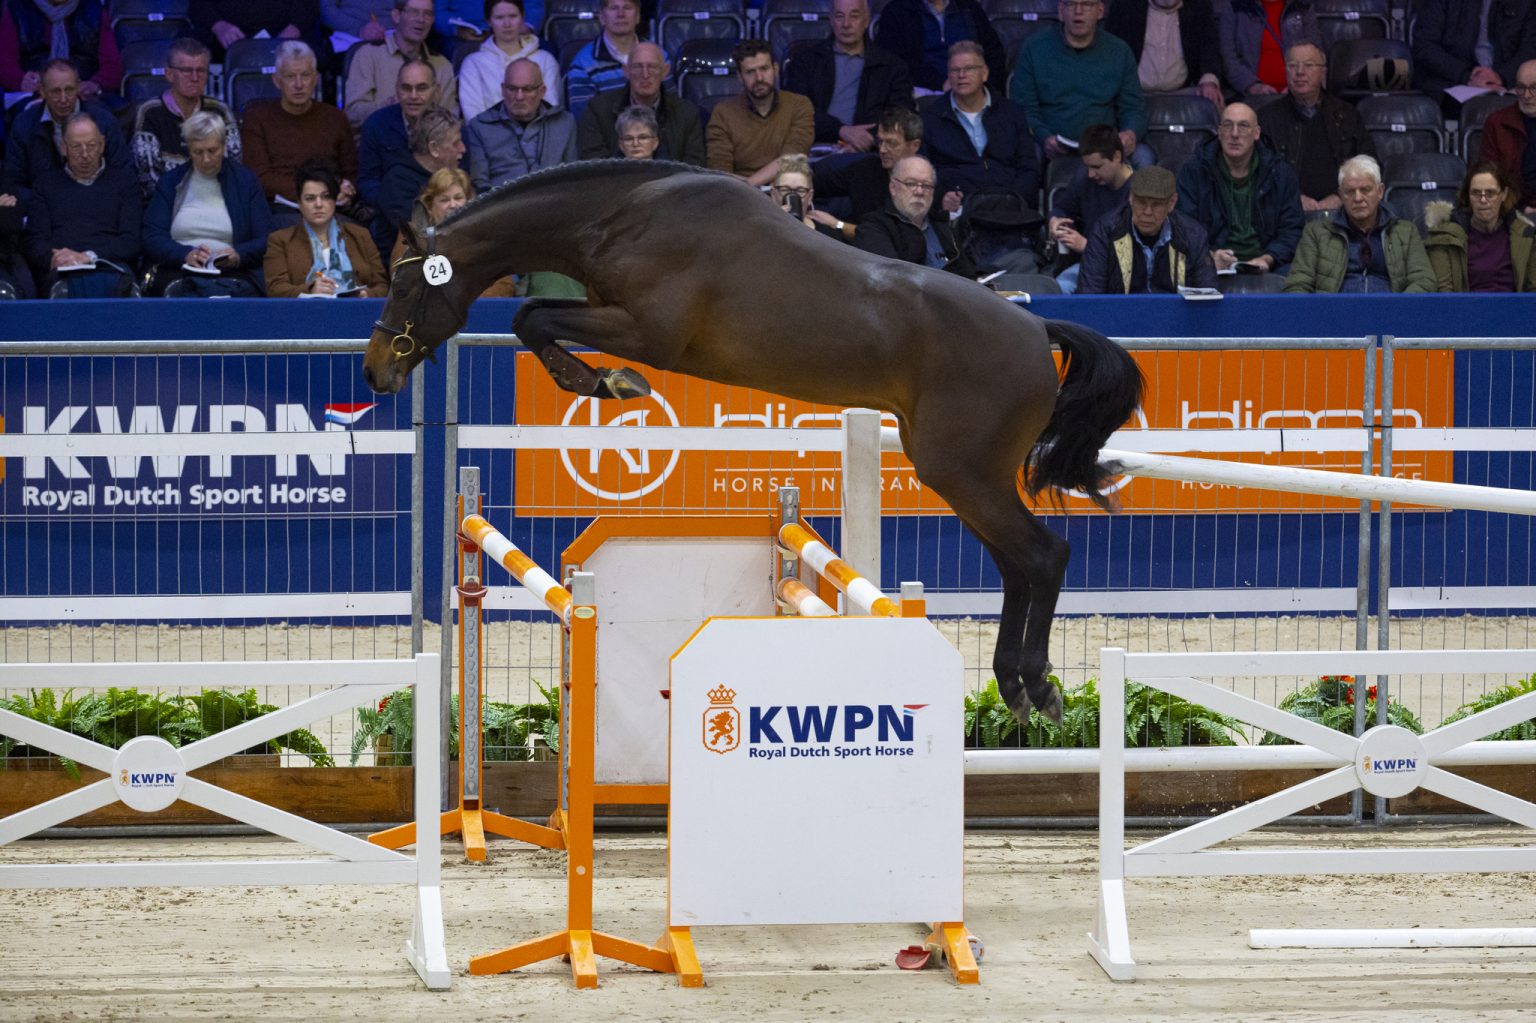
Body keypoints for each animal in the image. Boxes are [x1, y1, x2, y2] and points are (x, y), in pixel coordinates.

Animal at [362, 160, 1143, 724]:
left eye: (403, 291)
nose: (376, 372)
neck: (624, 216)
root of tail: (1035, 330)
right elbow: (533, 315)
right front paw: (602, 381)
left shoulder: (646, 331)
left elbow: (532, 316)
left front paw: (608, 382)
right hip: (963, 475)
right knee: (1019, 565)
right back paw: (1015, 684)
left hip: (962, 472)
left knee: (1042, 556)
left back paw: (1035, 686)